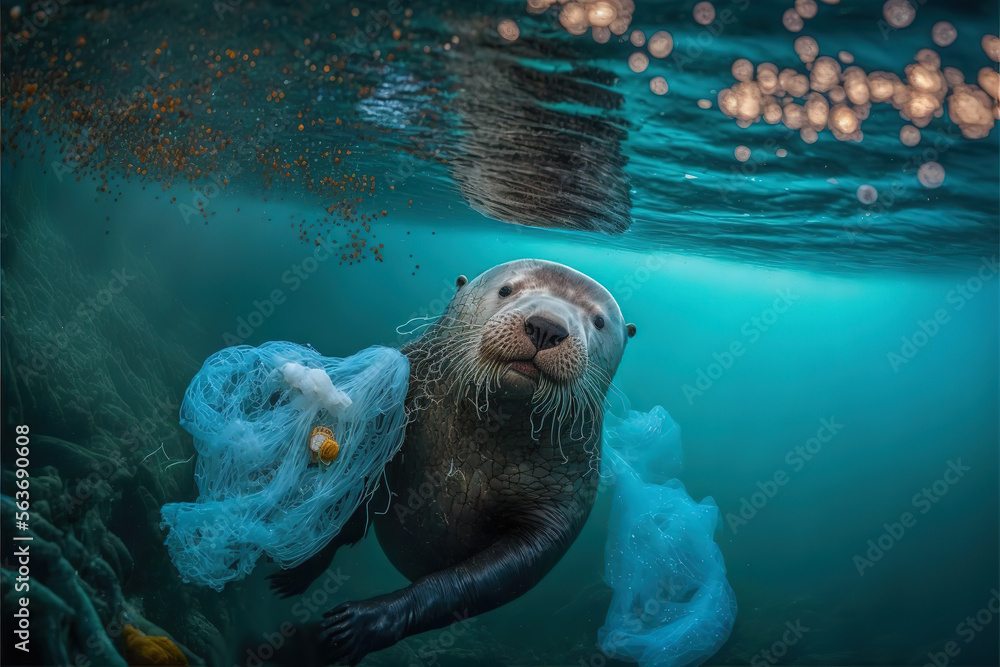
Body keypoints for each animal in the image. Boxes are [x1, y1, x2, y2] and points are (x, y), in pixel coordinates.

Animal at [268, 259, 636, 665]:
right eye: (506, 290)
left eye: (598, 321)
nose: (547, 325)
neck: (470, 459)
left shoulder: (558, 508)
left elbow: (473, 584)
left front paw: (366, 624)